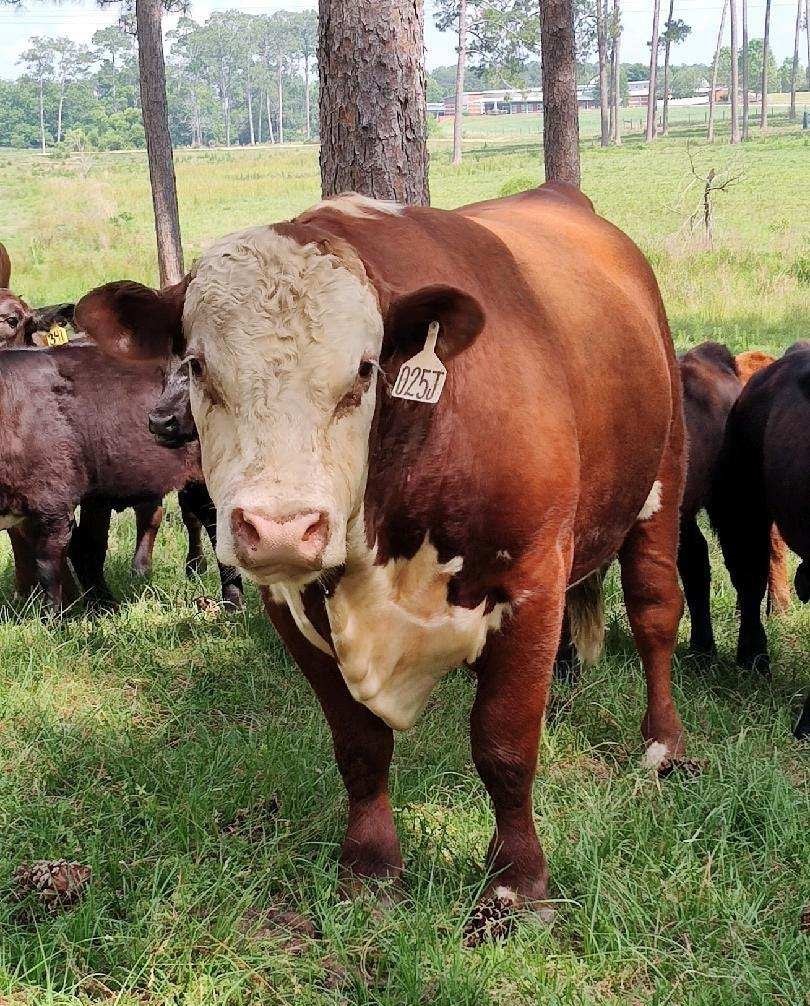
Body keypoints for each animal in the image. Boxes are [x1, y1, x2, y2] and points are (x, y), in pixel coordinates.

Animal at [76, 184, 688, 917]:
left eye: (366, 369)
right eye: (197, 365)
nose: (280, 527)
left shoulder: (533, 574)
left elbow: (505, 741)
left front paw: (516, 882)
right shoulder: (290, 603)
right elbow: (361, 746)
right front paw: (370, 869)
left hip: (661, 479)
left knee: (656, 613)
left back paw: (663, 745)